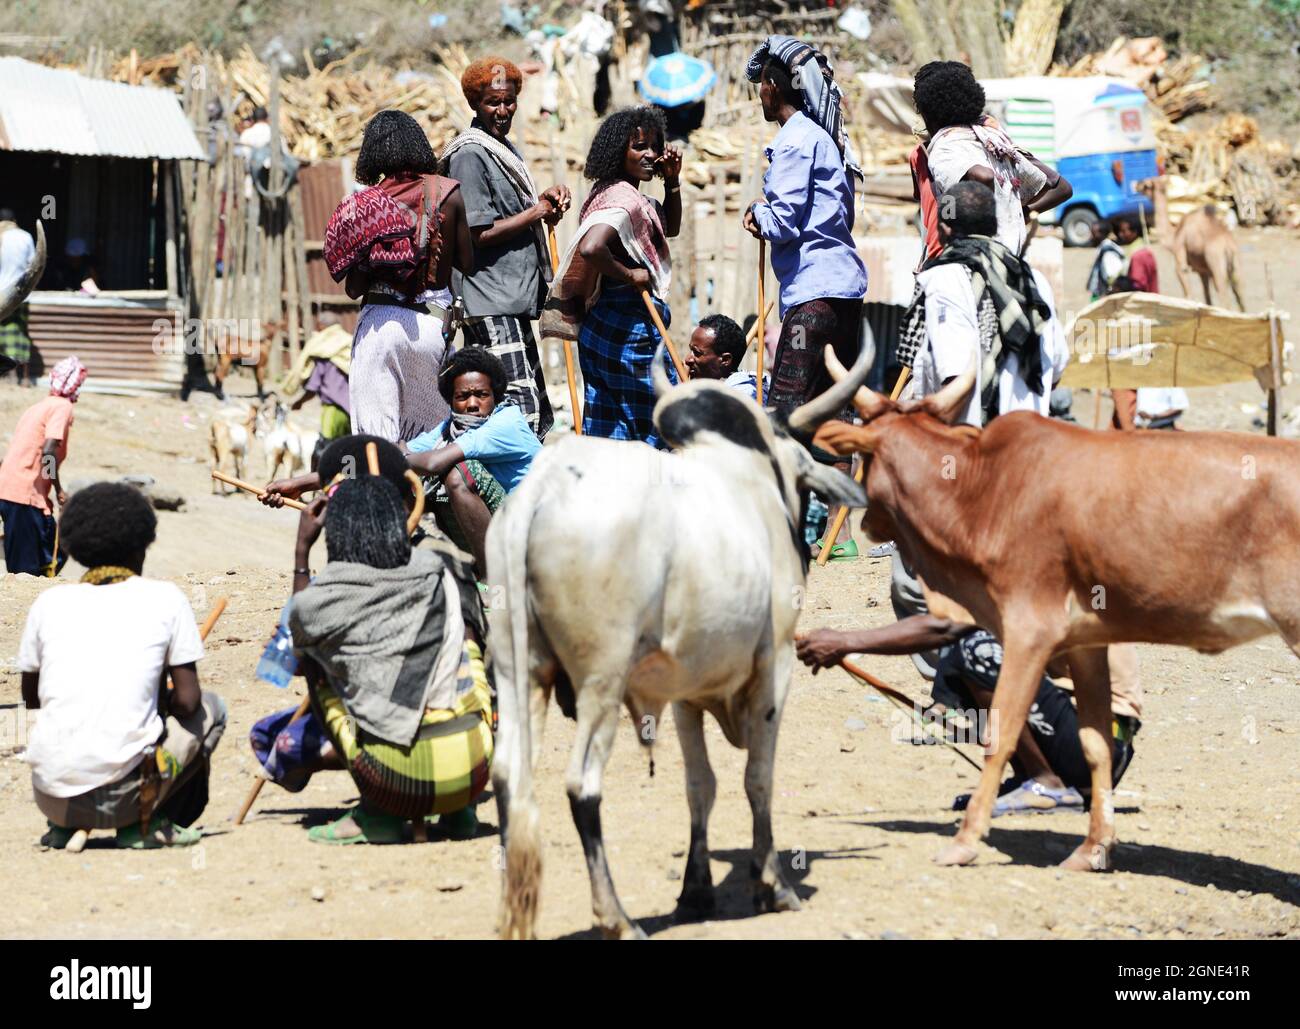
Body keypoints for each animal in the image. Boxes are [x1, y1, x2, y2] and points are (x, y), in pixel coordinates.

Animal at [486, 340, 872, 939]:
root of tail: (539, 495)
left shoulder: (686, 687)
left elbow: (701, 785)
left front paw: (696, 891)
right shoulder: (775, 665)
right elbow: (758, 777)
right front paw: (773, 883)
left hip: (518, 671)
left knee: (510, 777)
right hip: (601, 681)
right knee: (582, 786)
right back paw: (617, 918)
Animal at [811, 342, 1300, 873]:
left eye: (861, 457)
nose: (866, 526)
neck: (983, 490)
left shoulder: (1029, 628)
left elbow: (1000, 733)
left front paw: (965, 841)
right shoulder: (1086, 642)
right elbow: (1095, 745)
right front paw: (1093, 849)